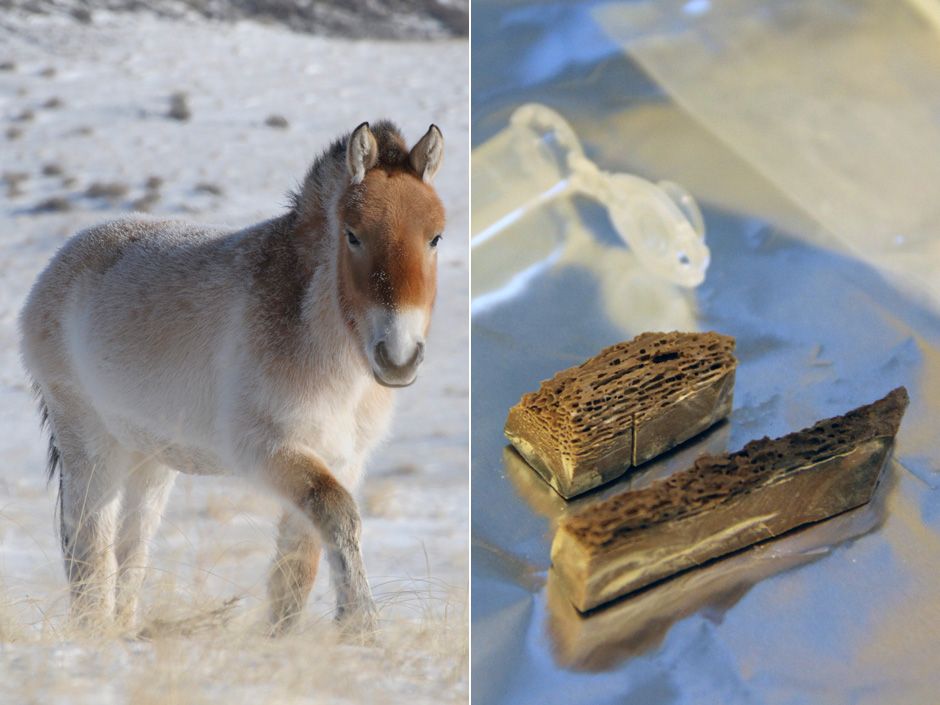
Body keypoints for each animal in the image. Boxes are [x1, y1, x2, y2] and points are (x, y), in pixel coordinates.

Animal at [18, 120, 446, 635]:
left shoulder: (341, 459)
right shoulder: (271, 450)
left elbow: (298, 566)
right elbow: (338, 515)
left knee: (130, 551)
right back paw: (95, 634)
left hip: (150, 460)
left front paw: (286, 639)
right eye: (353, 235)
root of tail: (58, 267)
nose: (398, 357)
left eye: (435, 238)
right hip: (90, 444)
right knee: (89, 548)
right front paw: (360, 625)